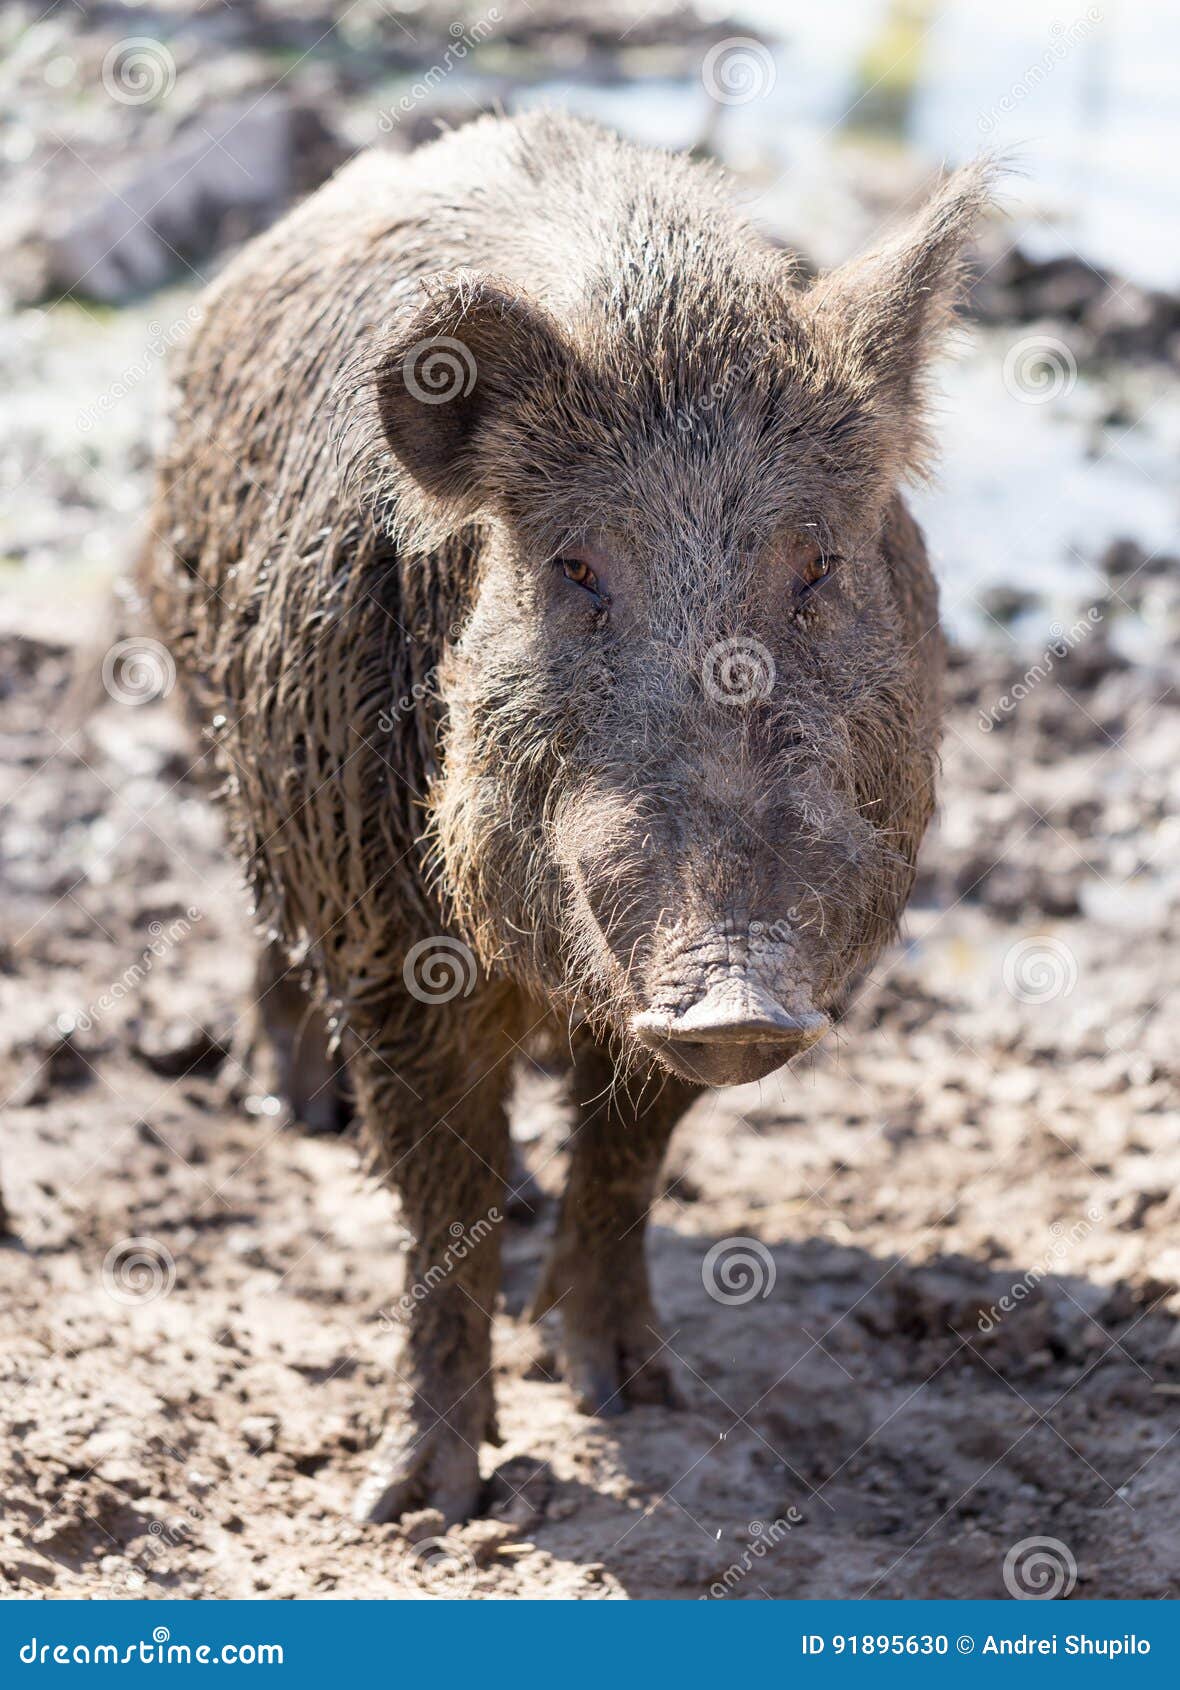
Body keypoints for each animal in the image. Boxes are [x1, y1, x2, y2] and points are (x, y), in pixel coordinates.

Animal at [141, 111, 991, 1523]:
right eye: (576, 567)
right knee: (270, 932)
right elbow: (440, 1201)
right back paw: (295, 1112)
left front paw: (632, 1395)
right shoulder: (388, 948)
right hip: (226, 734)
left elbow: (626, 1162)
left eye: (817, 562)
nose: (736, 985)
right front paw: (421, 1504)